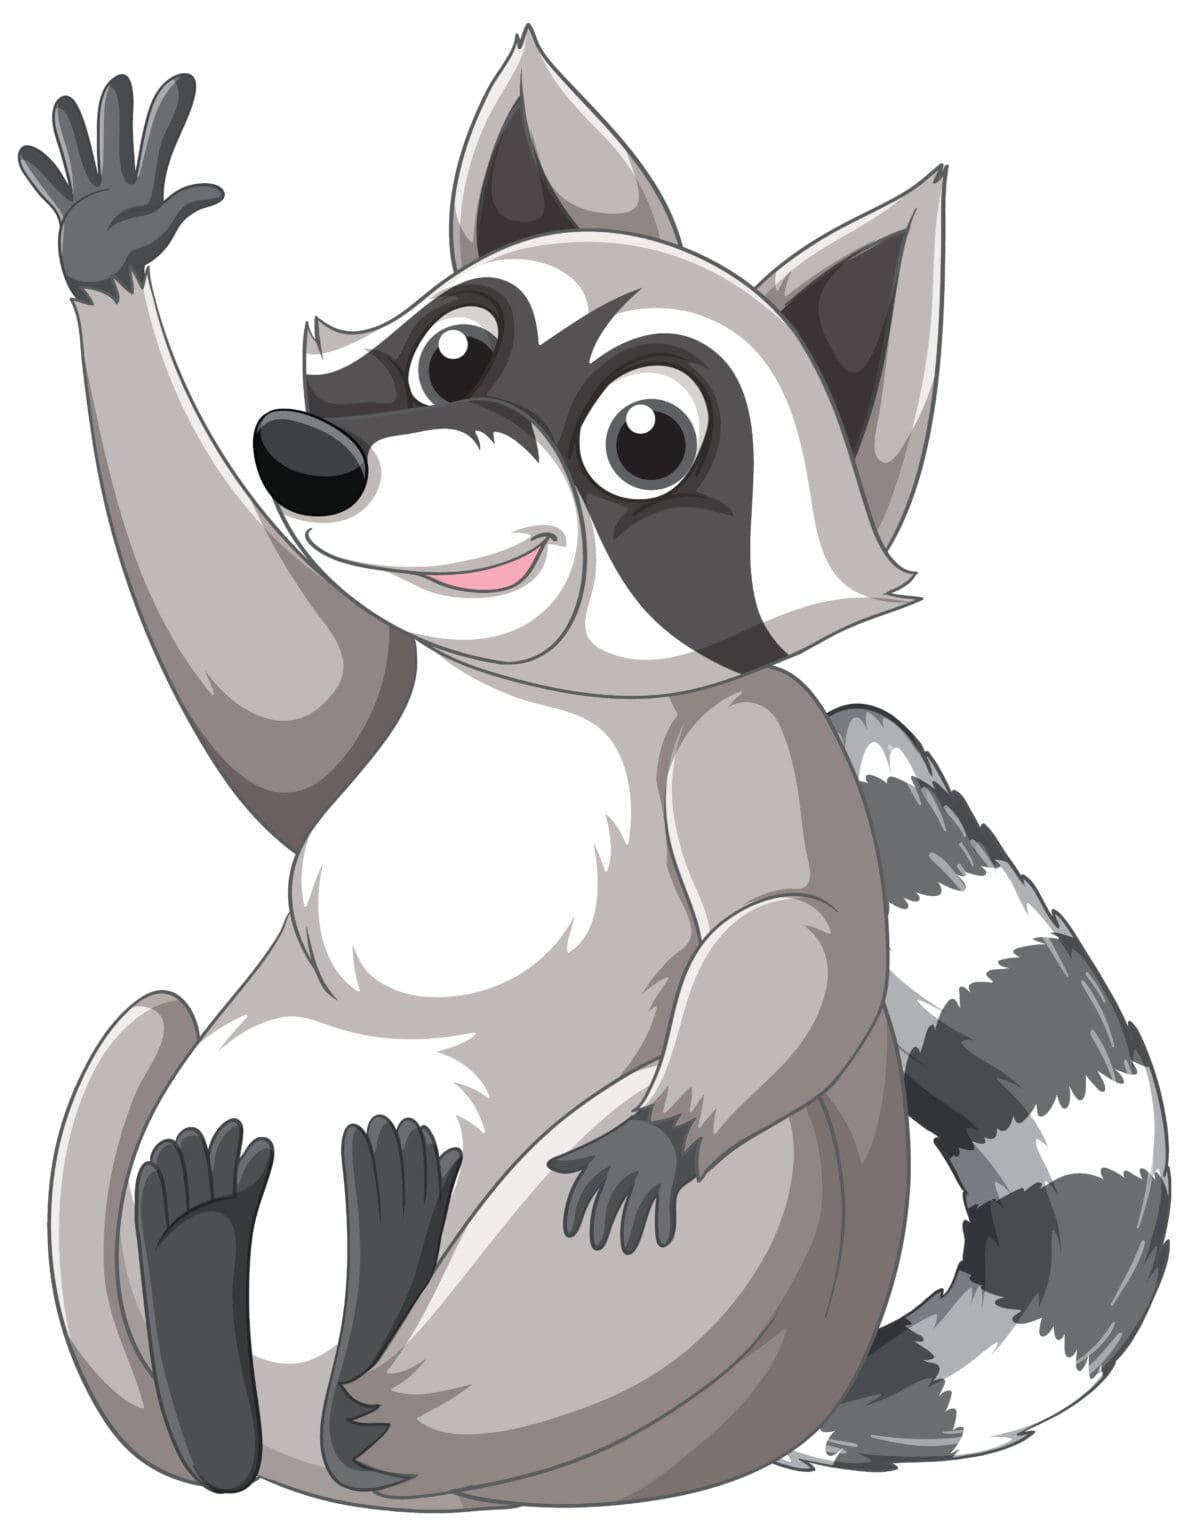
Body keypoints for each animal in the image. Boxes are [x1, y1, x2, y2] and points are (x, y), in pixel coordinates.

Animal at [22, 27, 1168, 1510]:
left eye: (646, 441)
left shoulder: (754, 732)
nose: (309, 458)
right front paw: (111, 255)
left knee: (718, 1179)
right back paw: (204, 1330)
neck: (540, 691)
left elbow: (799, 926)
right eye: (454, 353)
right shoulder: (384, 697)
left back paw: (374, 1365)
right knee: (143, 1045)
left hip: (693, 1343)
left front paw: (668, 1122)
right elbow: (267, 691)